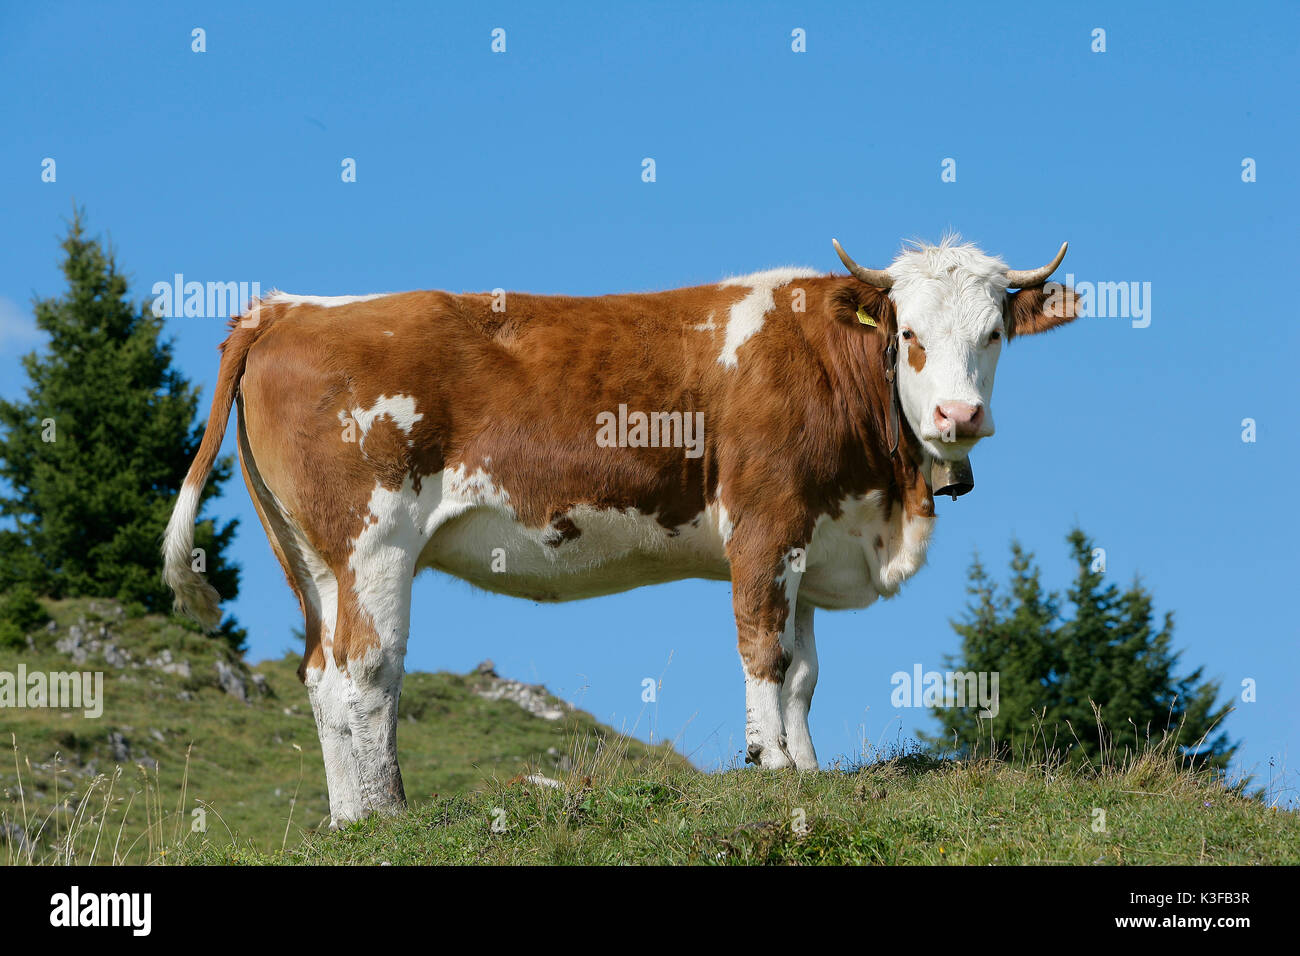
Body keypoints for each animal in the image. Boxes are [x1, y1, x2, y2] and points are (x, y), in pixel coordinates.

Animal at [163, 235, 1080, 826]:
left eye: (994, 333)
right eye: (909, 335)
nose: (960, 415)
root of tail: (288, 308)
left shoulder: (812, 538)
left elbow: (805, 671)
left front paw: (811, 771)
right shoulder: (763, 522)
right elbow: (764, 652)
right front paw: (774, 768)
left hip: (308, 555)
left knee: (322, 675)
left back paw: (350, 821)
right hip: (372, 542)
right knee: (367, 671)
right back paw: (389, 815)